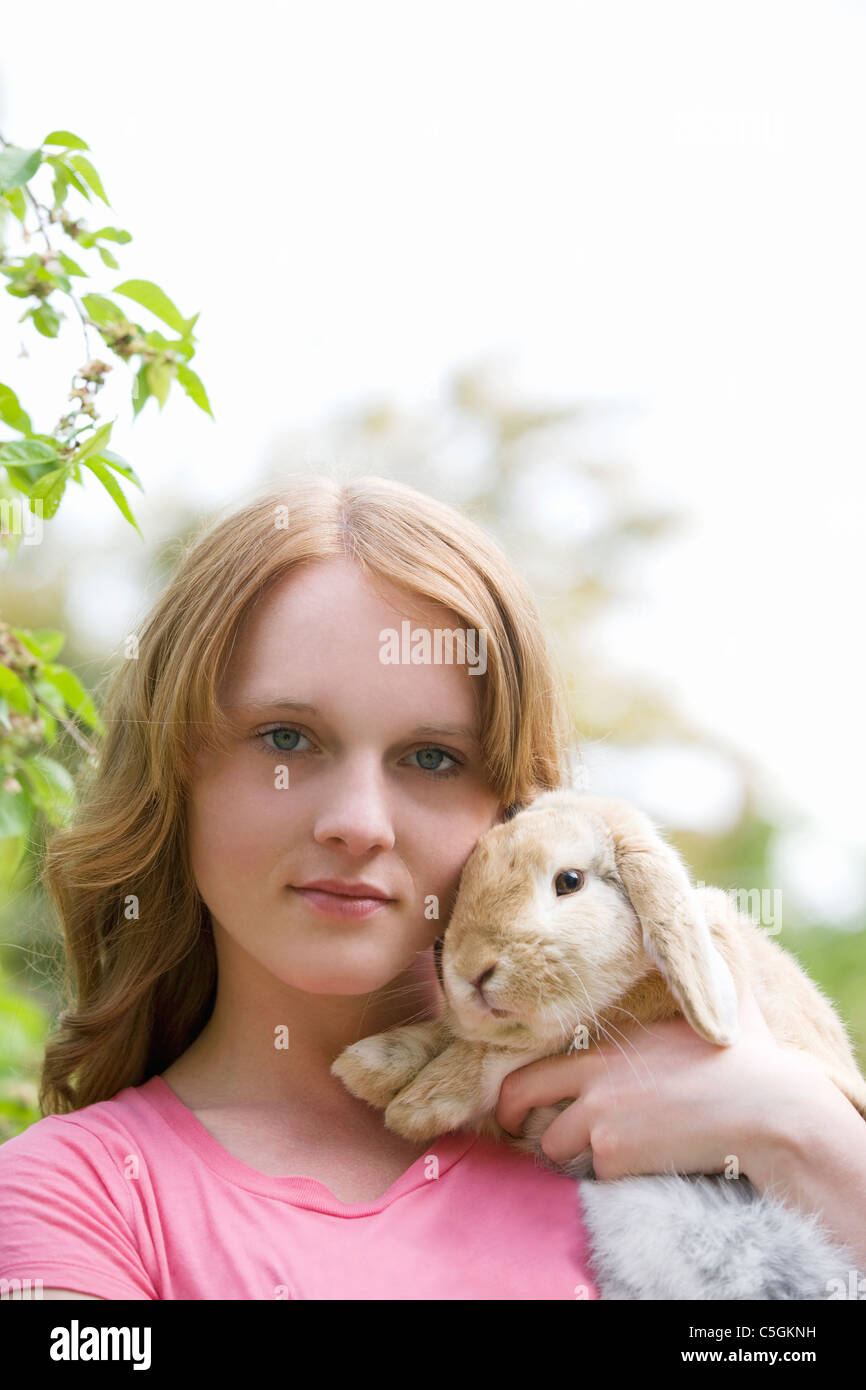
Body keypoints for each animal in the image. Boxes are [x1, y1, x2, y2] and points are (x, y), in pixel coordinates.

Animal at [332, 789, 866, 1299]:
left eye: (569, 881)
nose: (471, 969)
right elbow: (462, 1032)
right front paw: (371, 1065)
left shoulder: (620, 1013)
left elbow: (521, 1044)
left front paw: (422, 1102)